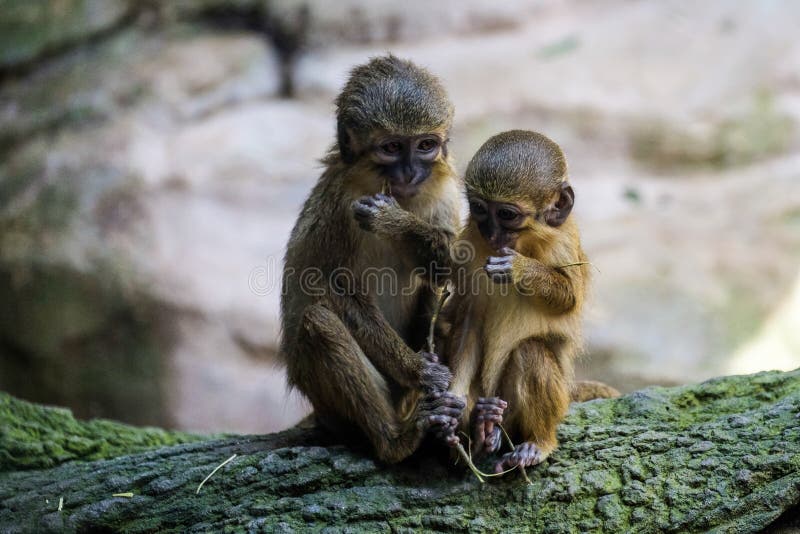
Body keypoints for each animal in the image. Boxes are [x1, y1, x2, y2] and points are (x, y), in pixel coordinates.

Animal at [280, 55, 465, 464]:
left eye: (425, 145)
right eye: (392, 147)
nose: (410, 171)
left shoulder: (446, 191)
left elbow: (453, 268)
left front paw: (393, 222)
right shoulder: (339, 203)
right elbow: (327, 283)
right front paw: (417, 369)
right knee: (319, 322)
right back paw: (396, 441)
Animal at [441, 130, 619, 472]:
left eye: (506, 215)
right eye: (479, 209)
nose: (490, 232)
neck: (524, 242)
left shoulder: (564, 243)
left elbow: (568, 299)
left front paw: (520, 269)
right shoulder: (467, 249)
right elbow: (468, 321)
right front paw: (452, 403)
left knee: (531, 351)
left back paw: (534, 441)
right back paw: (483, 428)